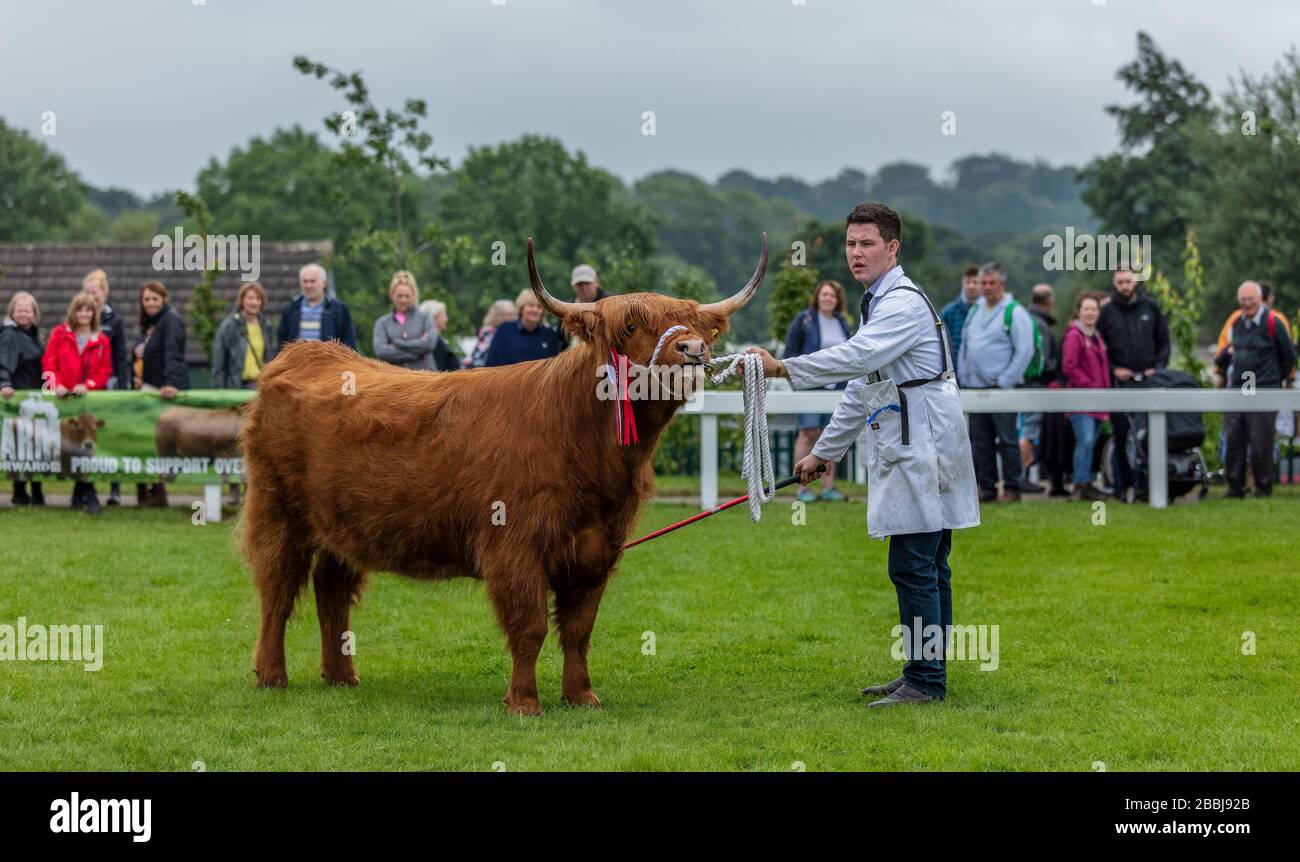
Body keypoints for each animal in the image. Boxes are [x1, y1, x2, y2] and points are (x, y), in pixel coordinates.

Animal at [239, 235, 767, 715]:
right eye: (633, 323)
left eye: (698, 324)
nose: (692, 349)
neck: (584, 441)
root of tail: (305, 352)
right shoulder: (514, 546)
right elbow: (530, 627)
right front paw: (524, 702)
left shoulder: (598, 547)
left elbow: (578, 630)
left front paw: (581, 696)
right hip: (278, 512)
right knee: (277, 590)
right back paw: (271, 676)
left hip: (341, 525)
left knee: (332, 590)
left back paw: (341, 676)